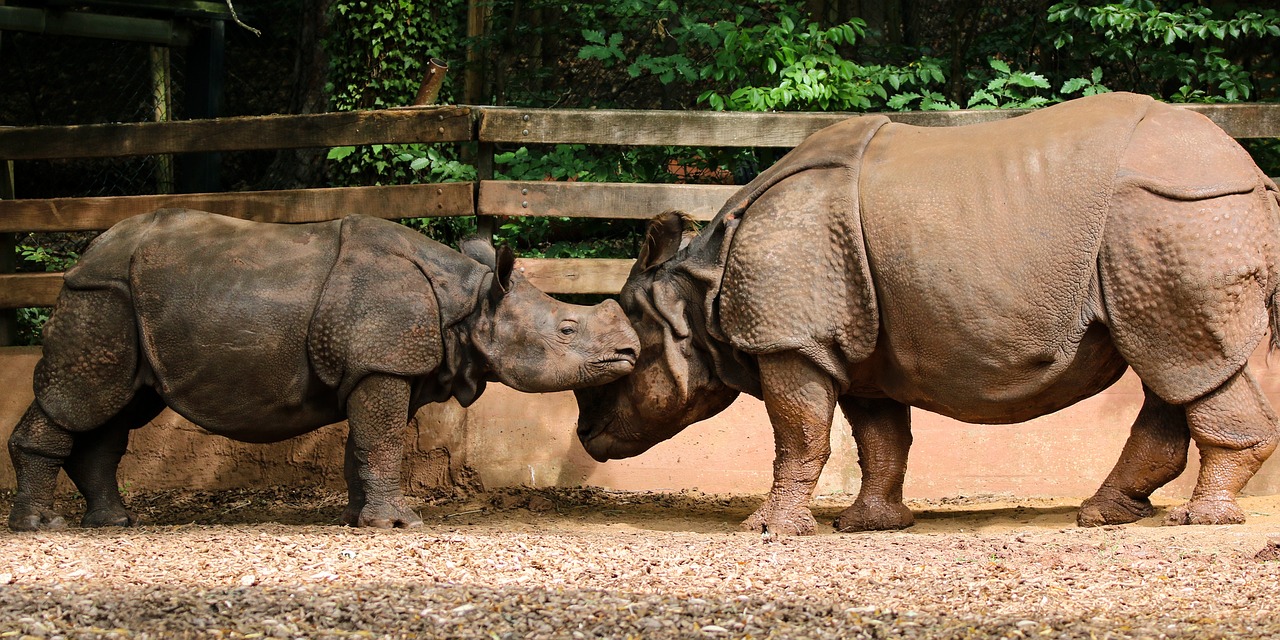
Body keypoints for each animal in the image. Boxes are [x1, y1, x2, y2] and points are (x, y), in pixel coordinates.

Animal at [7, 209, 640, 531]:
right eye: (567, 330)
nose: (631, 352)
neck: (471, 302)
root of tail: (87, 251)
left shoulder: (381, 365)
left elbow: (365, 442)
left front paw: (362, 518)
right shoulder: (382, 361)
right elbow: (383, 441)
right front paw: (398, 525)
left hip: (125, 301)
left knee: (118, 407)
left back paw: (113, 522)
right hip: (101, 297)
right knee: (85, 398)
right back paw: (43, 528)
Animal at [576, 92, 1280, 534]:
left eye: (625, 363)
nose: (586, 438)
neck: (694, 295)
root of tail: (1249, 170)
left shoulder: (791, 341)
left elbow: (799, 434)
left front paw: (767, 531)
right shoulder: (855, 345)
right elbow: (879, 438)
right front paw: (868, 525)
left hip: (1175, 212)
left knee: (1183, 359)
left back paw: (1197, 520)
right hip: (1170, 225)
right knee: (1174, 370)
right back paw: (1105, 515)